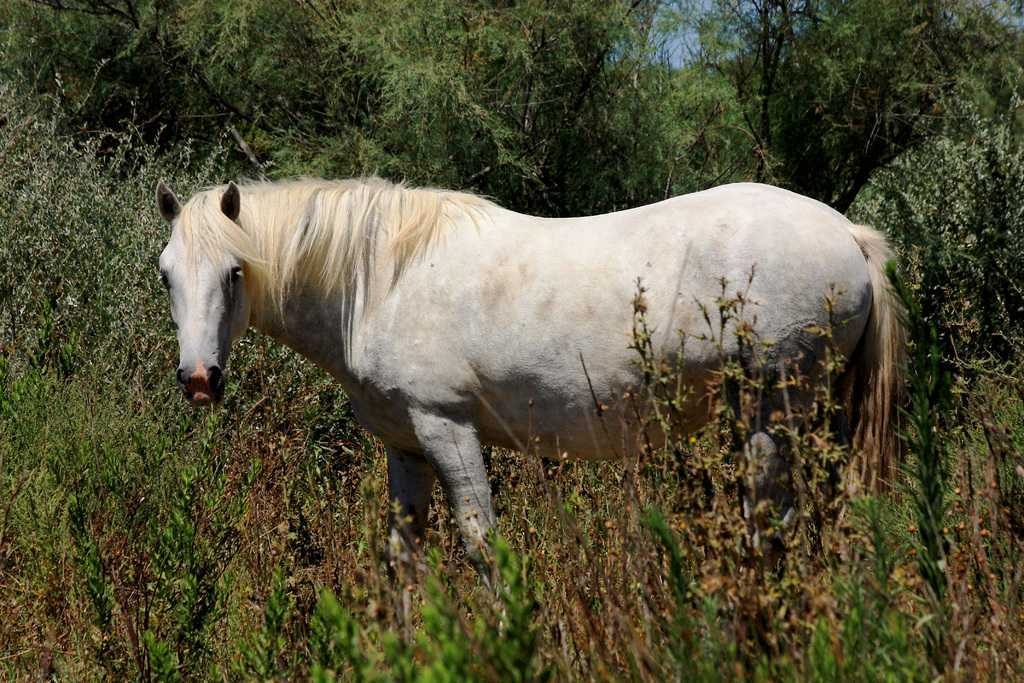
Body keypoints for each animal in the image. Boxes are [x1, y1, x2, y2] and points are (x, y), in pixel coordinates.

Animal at [155, 177, 903, 566]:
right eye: (165, 273)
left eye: (234, 271)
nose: (199, 380)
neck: (382, 280)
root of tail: (848, 235)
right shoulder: (404, 444)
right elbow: (405, 554)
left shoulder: (447, 428)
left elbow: (481, 544)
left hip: (773, 416)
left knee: (769, 525)